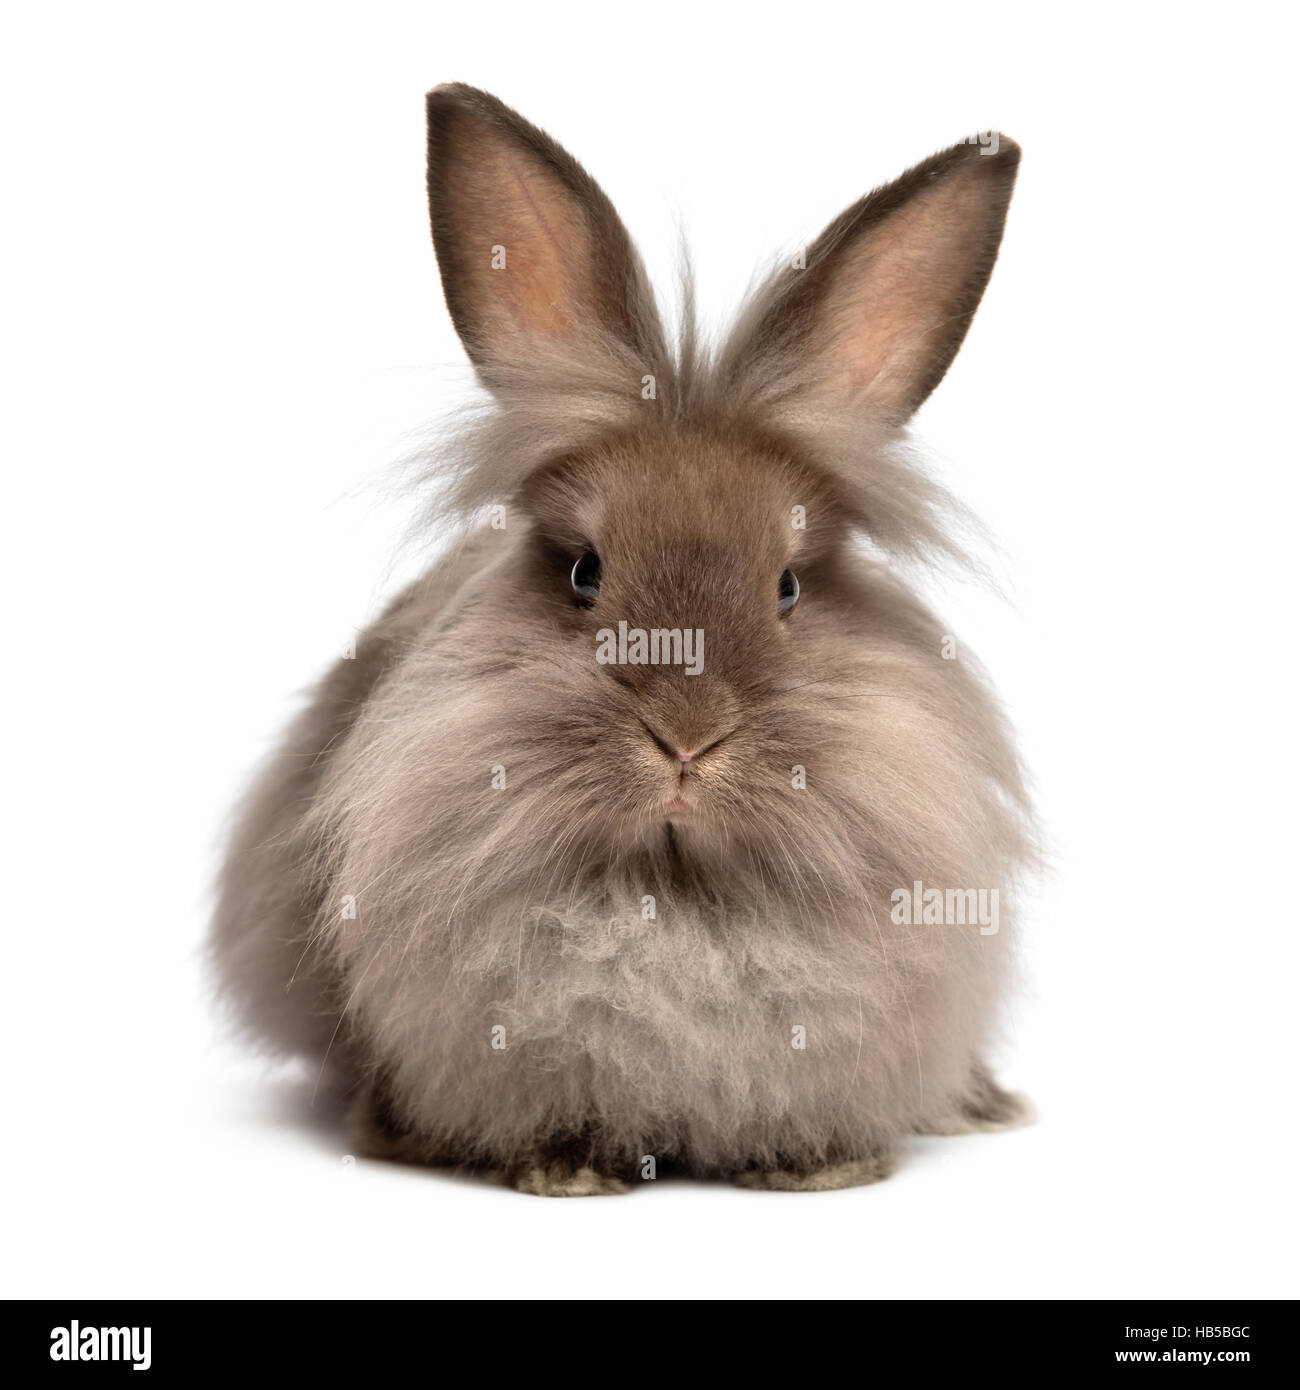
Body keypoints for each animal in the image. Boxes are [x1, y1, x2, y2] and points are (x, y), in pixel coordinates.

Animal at [212, 83, 1035, 1195]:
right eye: (583, 572)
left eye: (787, 585)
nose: (685, 741)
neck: (669, 885)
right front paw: (562, 1170)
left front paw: (823, 1167)